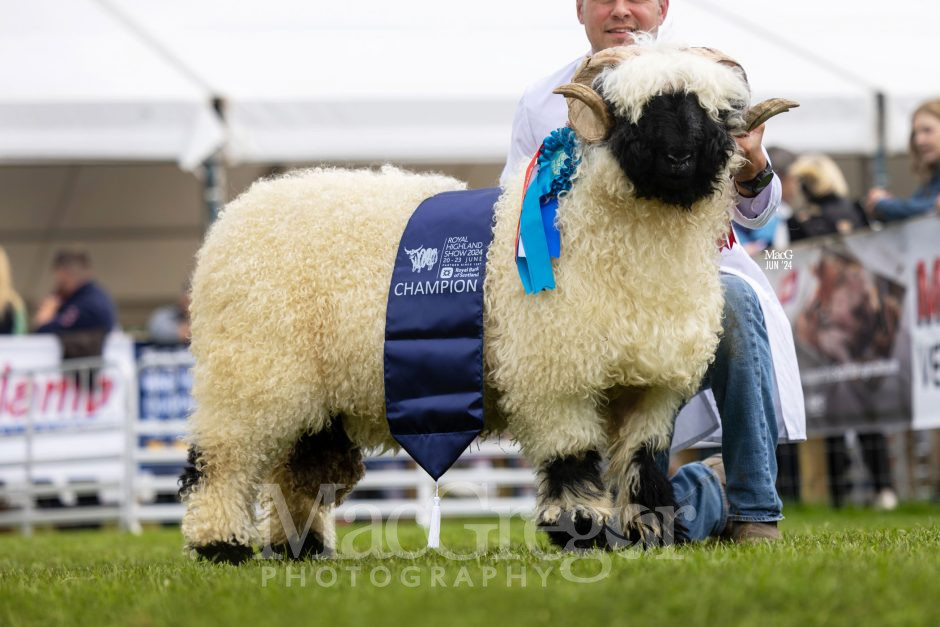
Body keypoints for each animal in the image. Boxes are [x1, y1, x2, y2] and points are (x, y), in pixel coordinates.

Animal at [179, 42, 795, 563]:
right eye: (633, 111)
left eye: (715, 112)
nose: (680, 156)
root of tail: (233, 217)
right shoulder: (556, 374)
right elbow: (573, 455)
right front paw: (582, 530)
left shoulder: (653, 385)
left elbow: (642, 463)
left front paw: (651, 532)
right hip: (252, 374)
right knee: (221, 460)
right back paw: (220, 544)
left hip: (317, 399)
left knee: (301, 471)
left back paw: (300, 548)